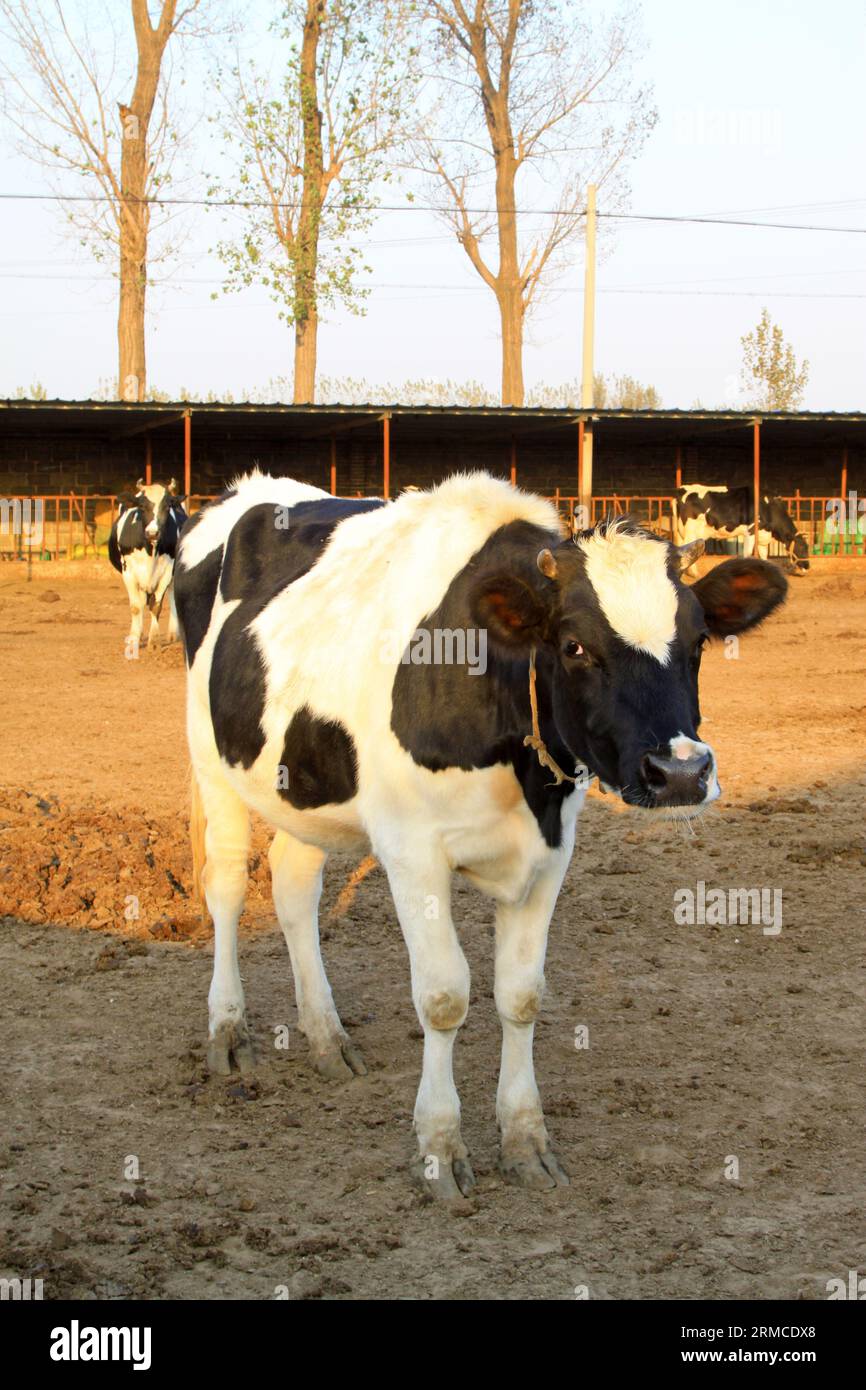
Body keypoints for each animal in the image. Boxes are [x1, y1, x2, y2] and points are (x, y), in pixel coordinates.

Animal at [109, 479, 188, 651]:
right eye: (142, 506)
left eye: (167, 506)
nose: (153, 533)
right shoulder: (128, 572)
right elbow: (136, 607)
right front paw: (134, 639)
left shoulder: (167, 571)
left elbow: (156, 605)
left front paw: (154, 640)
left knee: (171, 594)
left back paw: (173, 634)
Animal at [172, 470, 787, 1202]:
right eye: (574, 646)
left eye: (696, 644)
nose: (682, 773)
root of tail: (249, 489)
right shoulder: (411, 852)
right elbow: (443, 997)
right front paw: (439, 1149)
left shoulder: (551, 852)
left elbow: (521, 994)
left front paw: (525, 1142)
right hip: (211, 757)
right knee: (227, 888)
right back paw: (228, 1032)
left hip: (303, 779)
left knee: (294, 888)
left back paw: (326, 1038)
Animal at [674, 483, 809, 573]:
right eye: (802, 547)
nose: (808, 566)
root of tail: (682, 488)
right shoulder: (751, 531)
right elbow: (748, 553)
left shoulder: (762, 535)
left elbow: (764, 555)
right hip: (691, 531)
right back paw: (693, 574)